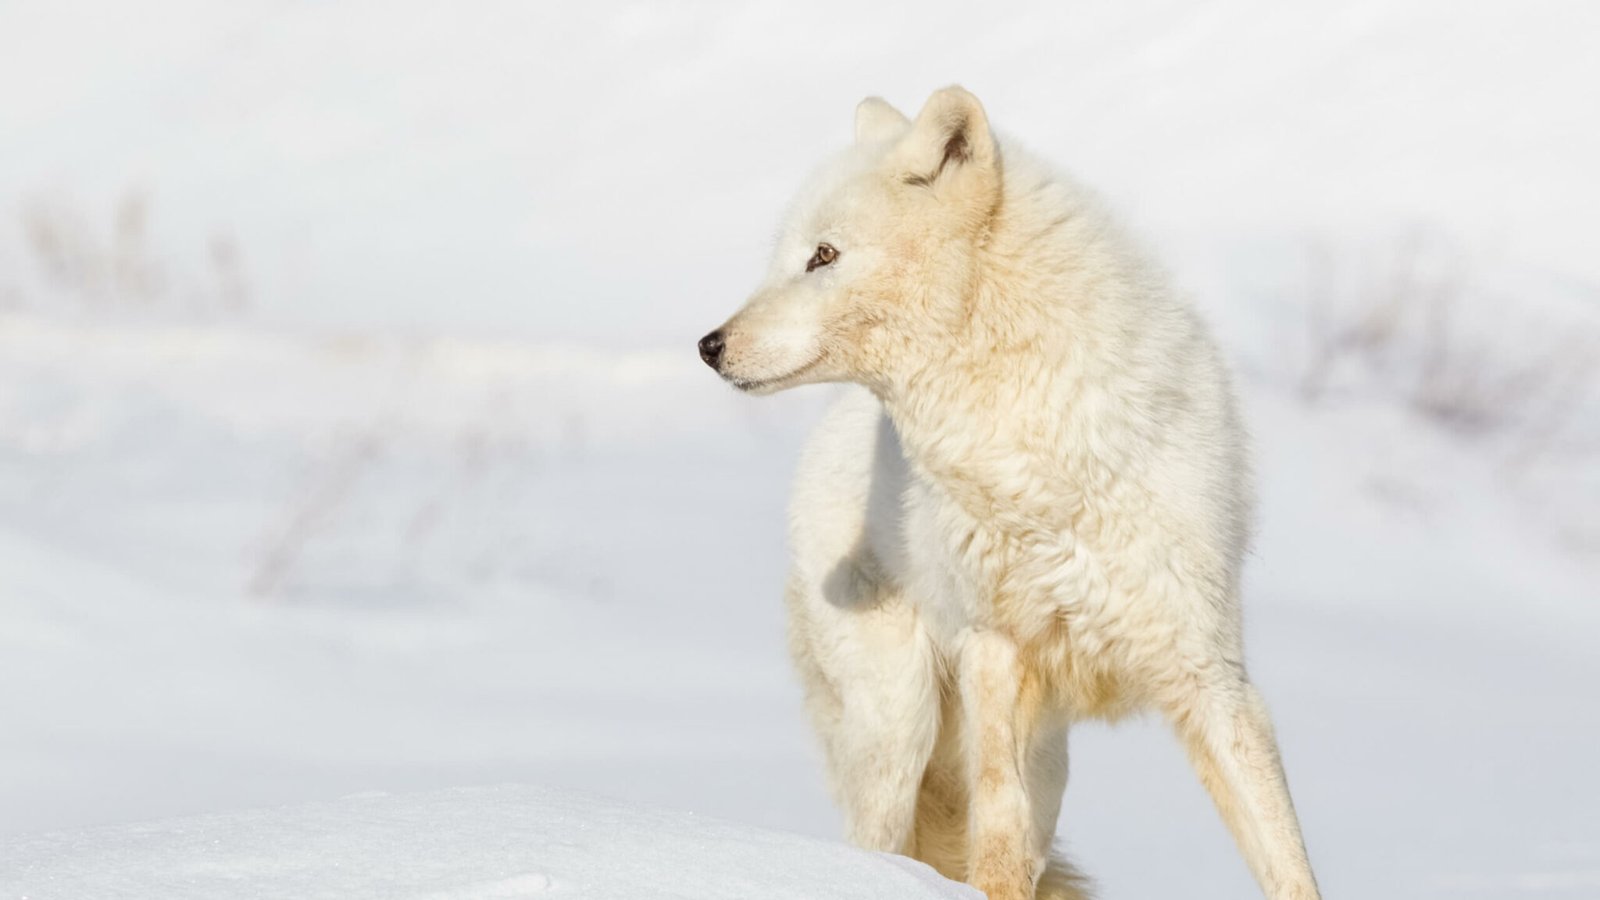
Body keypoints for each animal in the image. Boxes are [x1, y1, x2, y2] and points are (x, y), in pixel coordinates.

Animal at [698, 87, 1320, 900]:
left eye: (823, 255)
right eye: (790, 255)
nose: (709, 346)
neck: (1039, 467)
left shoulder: (1211, 674)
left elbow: (1288, 863)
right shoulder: (993, 649)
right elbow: (995, 837)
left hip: (1047, 762)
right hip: (899, 728)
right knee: (880, 841)